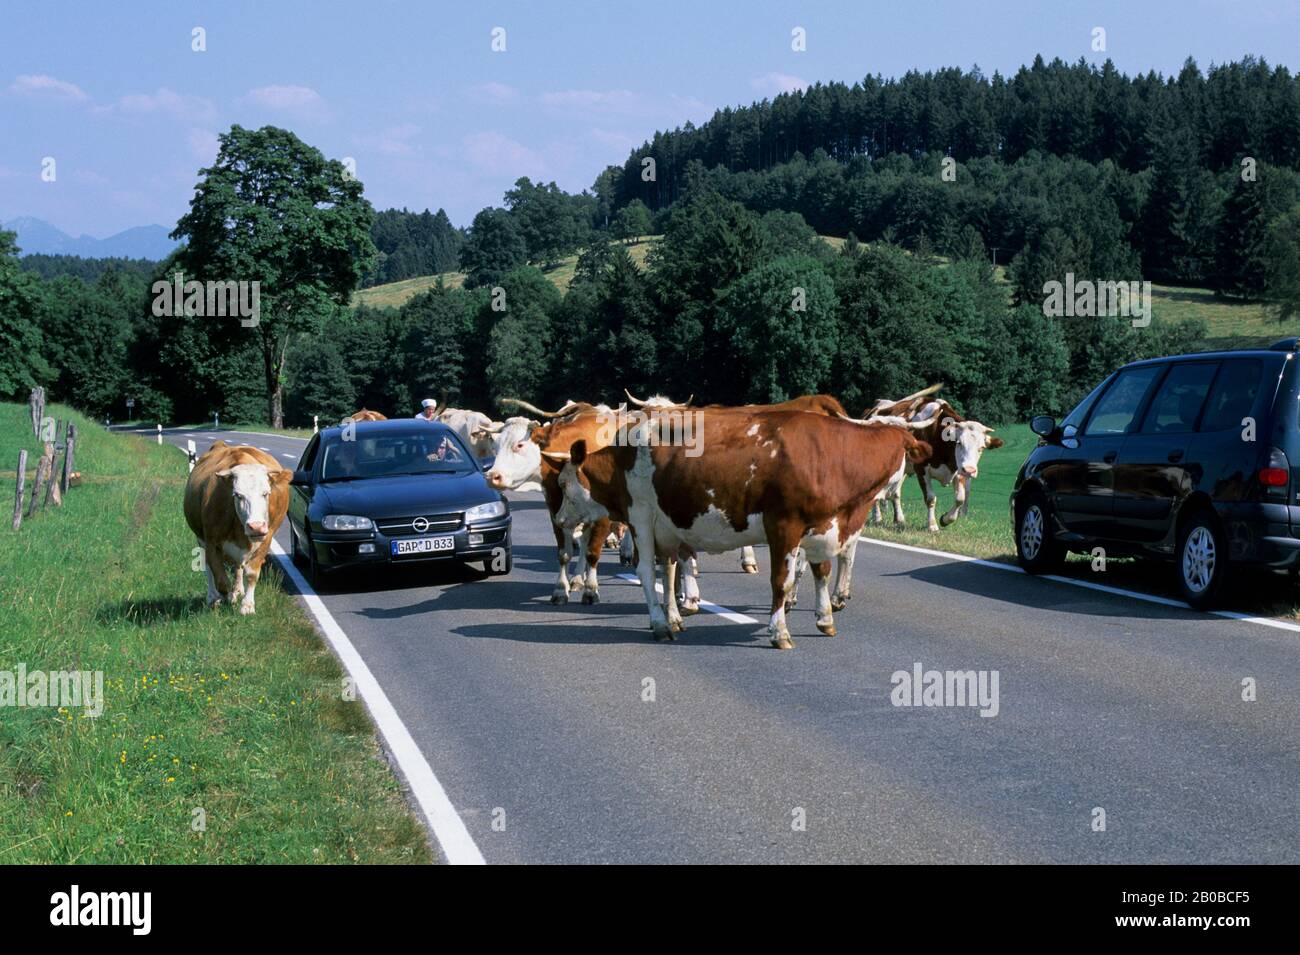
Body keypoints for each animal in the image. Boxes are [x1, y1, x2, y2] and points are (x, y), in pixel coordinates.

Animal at [183, 440, 291, 615]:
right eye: (238, 495)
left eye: (266, 493)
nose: (256, 527)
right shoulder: (211, 542)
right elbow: (220, 580)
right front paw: (228, 599)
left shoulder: (266, 539)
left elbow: (252, 574)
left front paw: (247, 606)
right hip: (201, 539)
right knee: (208, 568)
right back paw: (213, 598)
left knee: (238, 566)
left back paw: (238, 590)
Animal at [547, 409, 931, 648]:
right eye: (561, 485)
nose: (560, 519)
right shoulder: (783, 525)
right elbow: (781, 581)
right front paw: (779, 632)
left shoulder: (822, 526)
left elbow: (821, 570)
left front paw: (824, 619)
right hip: (641, 515)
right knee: (645, 571)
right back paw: (659, 623)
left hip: (665, 524)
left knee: (667, 569)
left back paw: (673, 618)